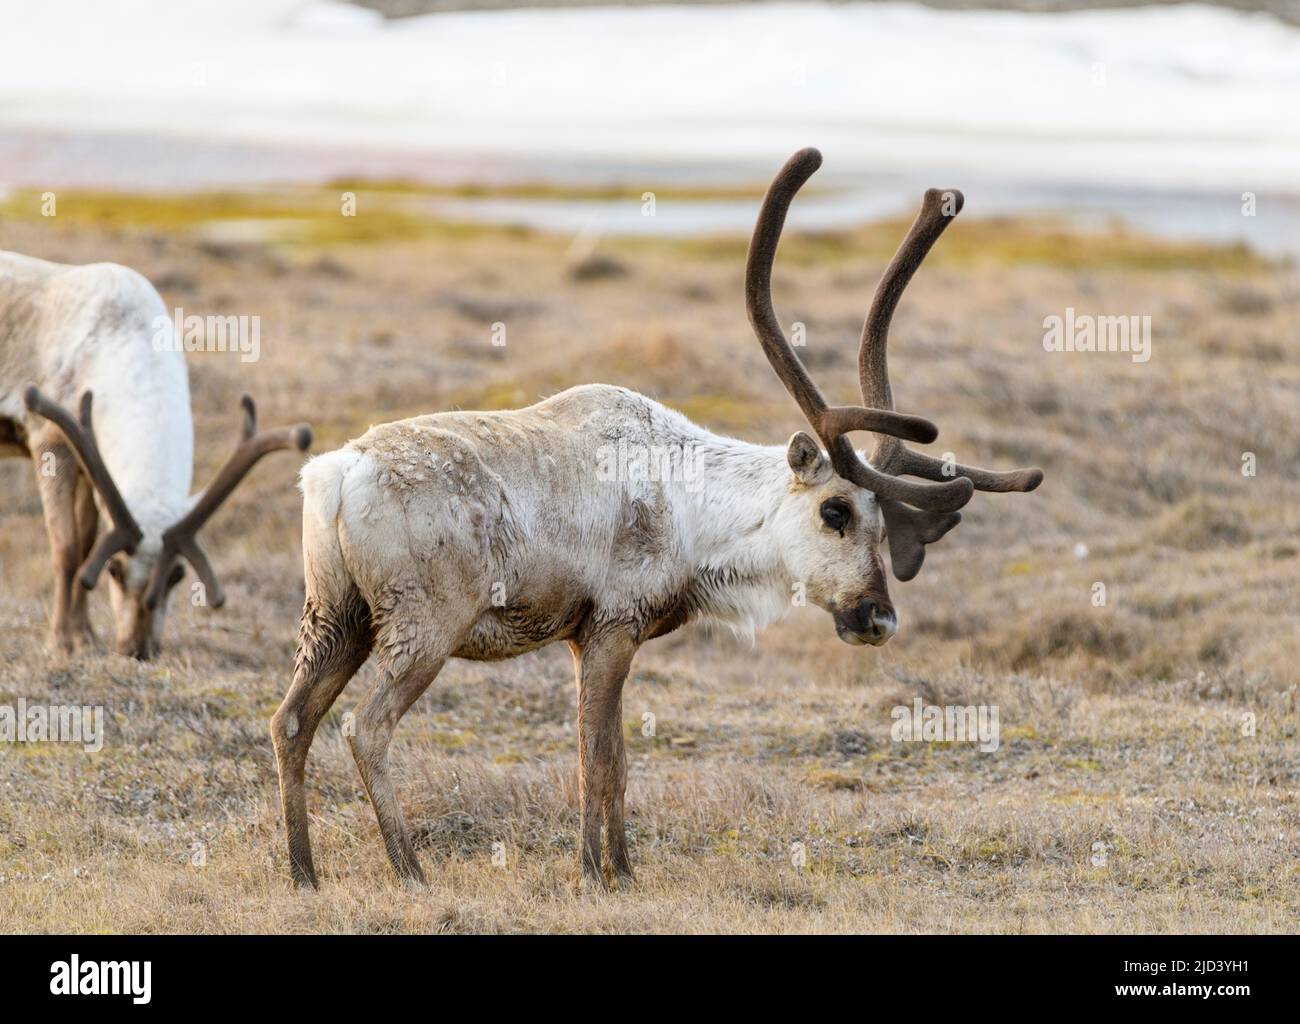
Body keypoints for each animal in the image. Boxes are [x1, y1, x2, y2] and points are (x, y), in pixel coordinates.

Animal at [0, 252, 312, 659]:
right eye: (114, 570)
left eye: (177, 575)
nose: (137, 648)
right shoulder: (51, 442)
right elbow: (67, 550)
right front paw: (62, 641)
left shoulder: (88, 463)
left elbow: (87, 544)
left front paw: (85, 637)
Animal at [271, 148, 1043, 891]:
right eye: (836, 510)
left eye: (886, 529)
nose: (877, 618)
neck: (695, 516)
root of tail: (334, 476)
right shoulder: (612, 624)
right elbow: (598, 758)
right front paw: (595, 873)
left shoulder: (589, 637)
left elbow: (616, 759)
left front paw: (625, 869)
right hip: (422, 623)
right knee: (365, 727)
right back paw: (409, 869)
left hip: (336, 616)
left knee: (290, 720)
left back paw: (305, 873)